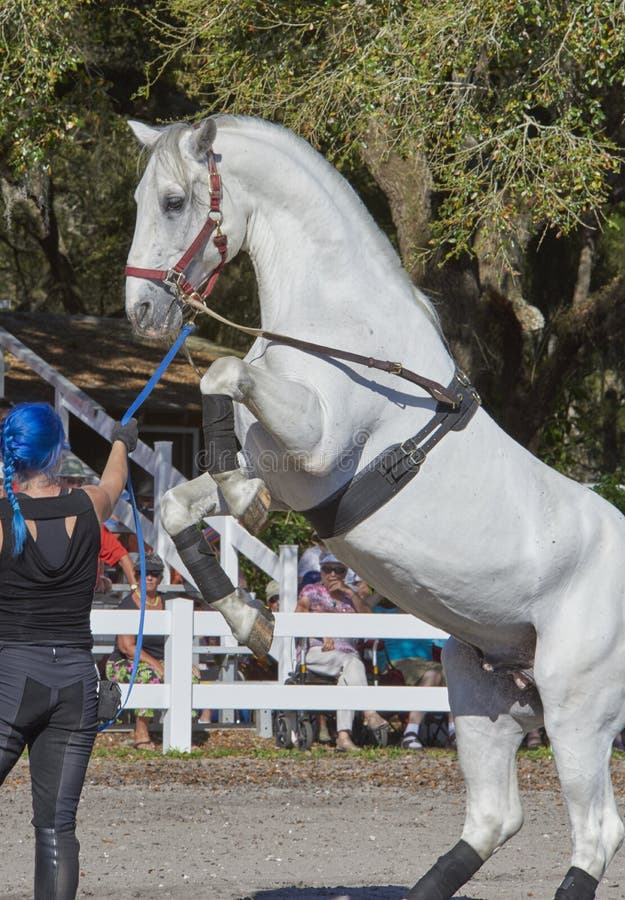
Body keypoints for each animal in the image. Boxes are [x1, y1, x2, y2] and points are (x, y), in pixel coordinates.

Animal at [124, 115, 625, 899]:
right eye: (141, 200)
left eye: (174, 202)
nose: (141, 313)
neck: (341, 325)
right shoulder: (285, 473)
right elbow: (180, 506)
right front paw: (250, 616)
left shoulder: (318, 446)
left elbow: (221, 371)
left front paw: (237, 508)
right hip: (484, 697)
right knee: (493, 819)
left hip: (579, 708)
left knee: (596, 831)